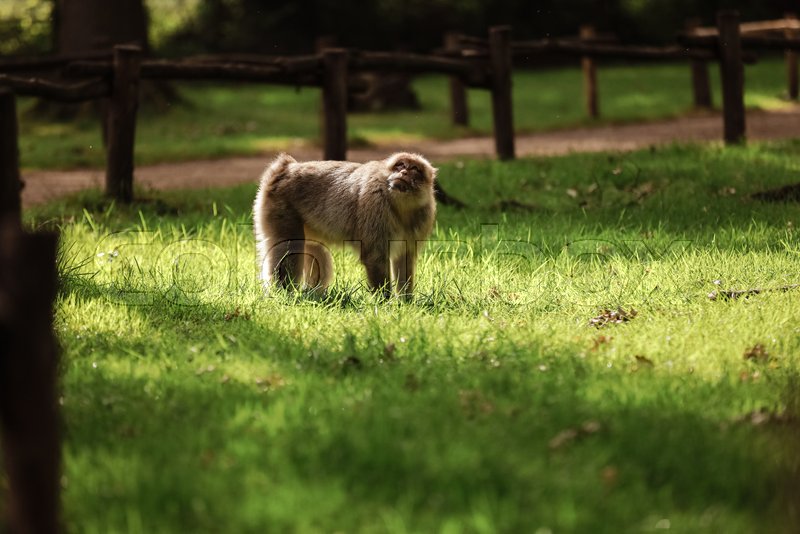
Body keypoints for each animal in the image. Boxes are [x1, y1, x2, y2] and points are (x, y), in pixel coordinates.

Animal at [253, 152, 437, 300]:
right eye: (400, 165)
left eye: (415, 169)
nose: (403, 172)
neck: (401, 206)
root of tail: (287, 167)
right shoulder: (375, 204)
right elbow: (375, 256)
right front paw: (384, 303)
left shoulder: (422, 217)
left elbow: (404, 258)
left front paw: (406, 302)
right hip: (279, 208)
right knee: (292, 248)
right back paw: (284, 295)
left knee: (318, 254)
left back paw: (313, 296)